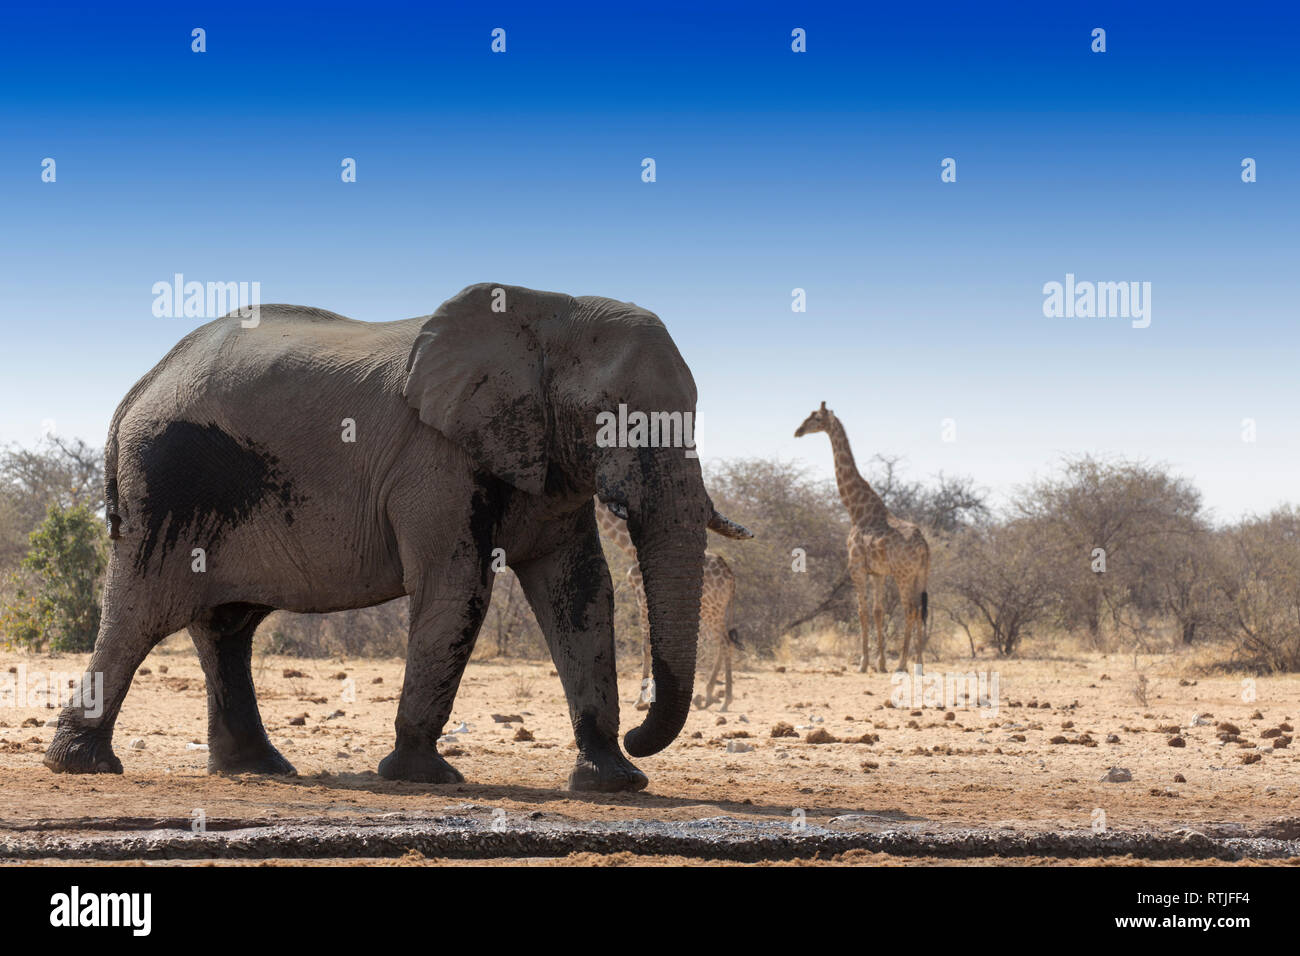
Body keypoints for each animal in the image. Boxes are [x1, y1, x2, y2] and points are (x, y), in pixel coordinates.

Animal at [43, 283, 751, 792]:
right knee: (140, 613)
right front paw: (423, 776)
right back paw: (82, 765)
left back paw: (258, 769)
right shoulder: (434, 457)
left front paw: (615, 780)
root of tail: (139, 386)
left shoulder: (546, 462)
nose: (639, 735)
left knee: (227, 626)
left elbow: (582, 593)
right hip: (169, 480)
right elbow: (458, 587)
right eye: (613, 418)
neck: (550, 313)